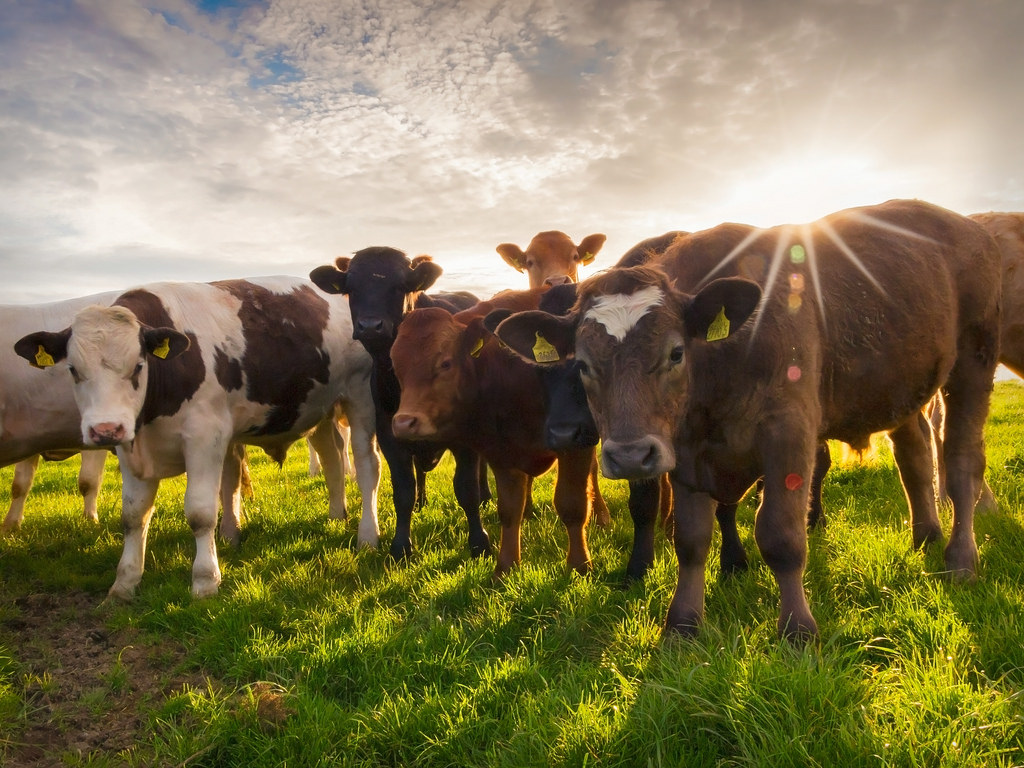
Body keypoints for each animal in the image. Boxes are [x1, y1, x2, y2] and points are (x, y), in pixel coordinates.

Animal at [15, 277, 380, 600]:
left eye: (138, 366)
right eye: (73, 370)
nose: (105, 429)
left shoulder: (205, 439)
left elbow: (200, 513)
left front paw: (205, 581)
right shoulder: (130, 448)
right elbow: (133, 516)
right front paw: (124, 584)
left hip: (361, 396)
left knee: (366, 467)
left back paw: (368, 536)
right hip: (319, 408)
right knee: (331, 457)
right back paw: (336, 516)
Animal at [309, 247, 492, 560]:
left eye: (399, 286)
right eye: (352, 288)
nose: (370, 325)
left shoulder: (464, 438)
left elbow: (467, 489)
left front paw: (480, 542)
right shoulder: (390, 433)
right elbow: (403, 491)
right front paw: (401, 546)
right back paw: (422, 501)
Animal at [390, 287, 596, 577]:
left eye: (445, 364)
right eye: (396, 365)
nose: (404, 422)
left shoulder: (577, 443)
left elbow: (572, 503)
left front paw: (579, 565)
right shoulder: (501, 451)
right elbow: (509, 510)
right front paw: (506, 567)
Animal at [495, 199, 1001, 640]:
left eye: (676, 352)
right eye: (582, 364)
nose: (631, 457)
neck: (721, 367)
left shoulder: (789, 437)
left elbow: (781, 535)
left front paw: (798, 629)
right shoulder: (686, 453)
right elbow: (691, 540)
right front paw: (682, 625)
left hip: (972, 366)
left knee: (961, 465)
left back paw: (960, 559)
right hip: (903, 389)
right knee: (914, 454)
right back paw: (925, 537)